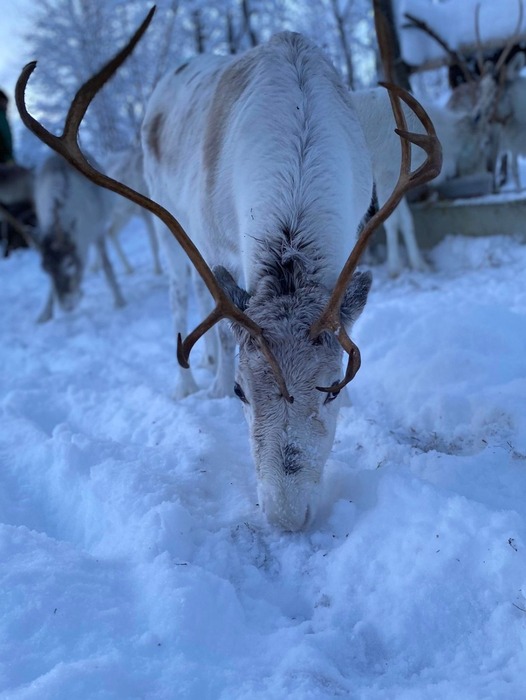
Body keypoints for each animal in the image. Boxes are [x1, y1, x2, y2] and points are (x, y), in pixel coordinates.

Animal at [16, 8, 441, 531]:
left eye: (332, 392)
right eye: (243, 391)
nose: (285, 516)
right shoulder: (212, 237)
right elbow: (220, 325)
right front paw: (217, 382)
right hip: (169, 224)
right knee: (184, 297)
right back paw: (191, 383)